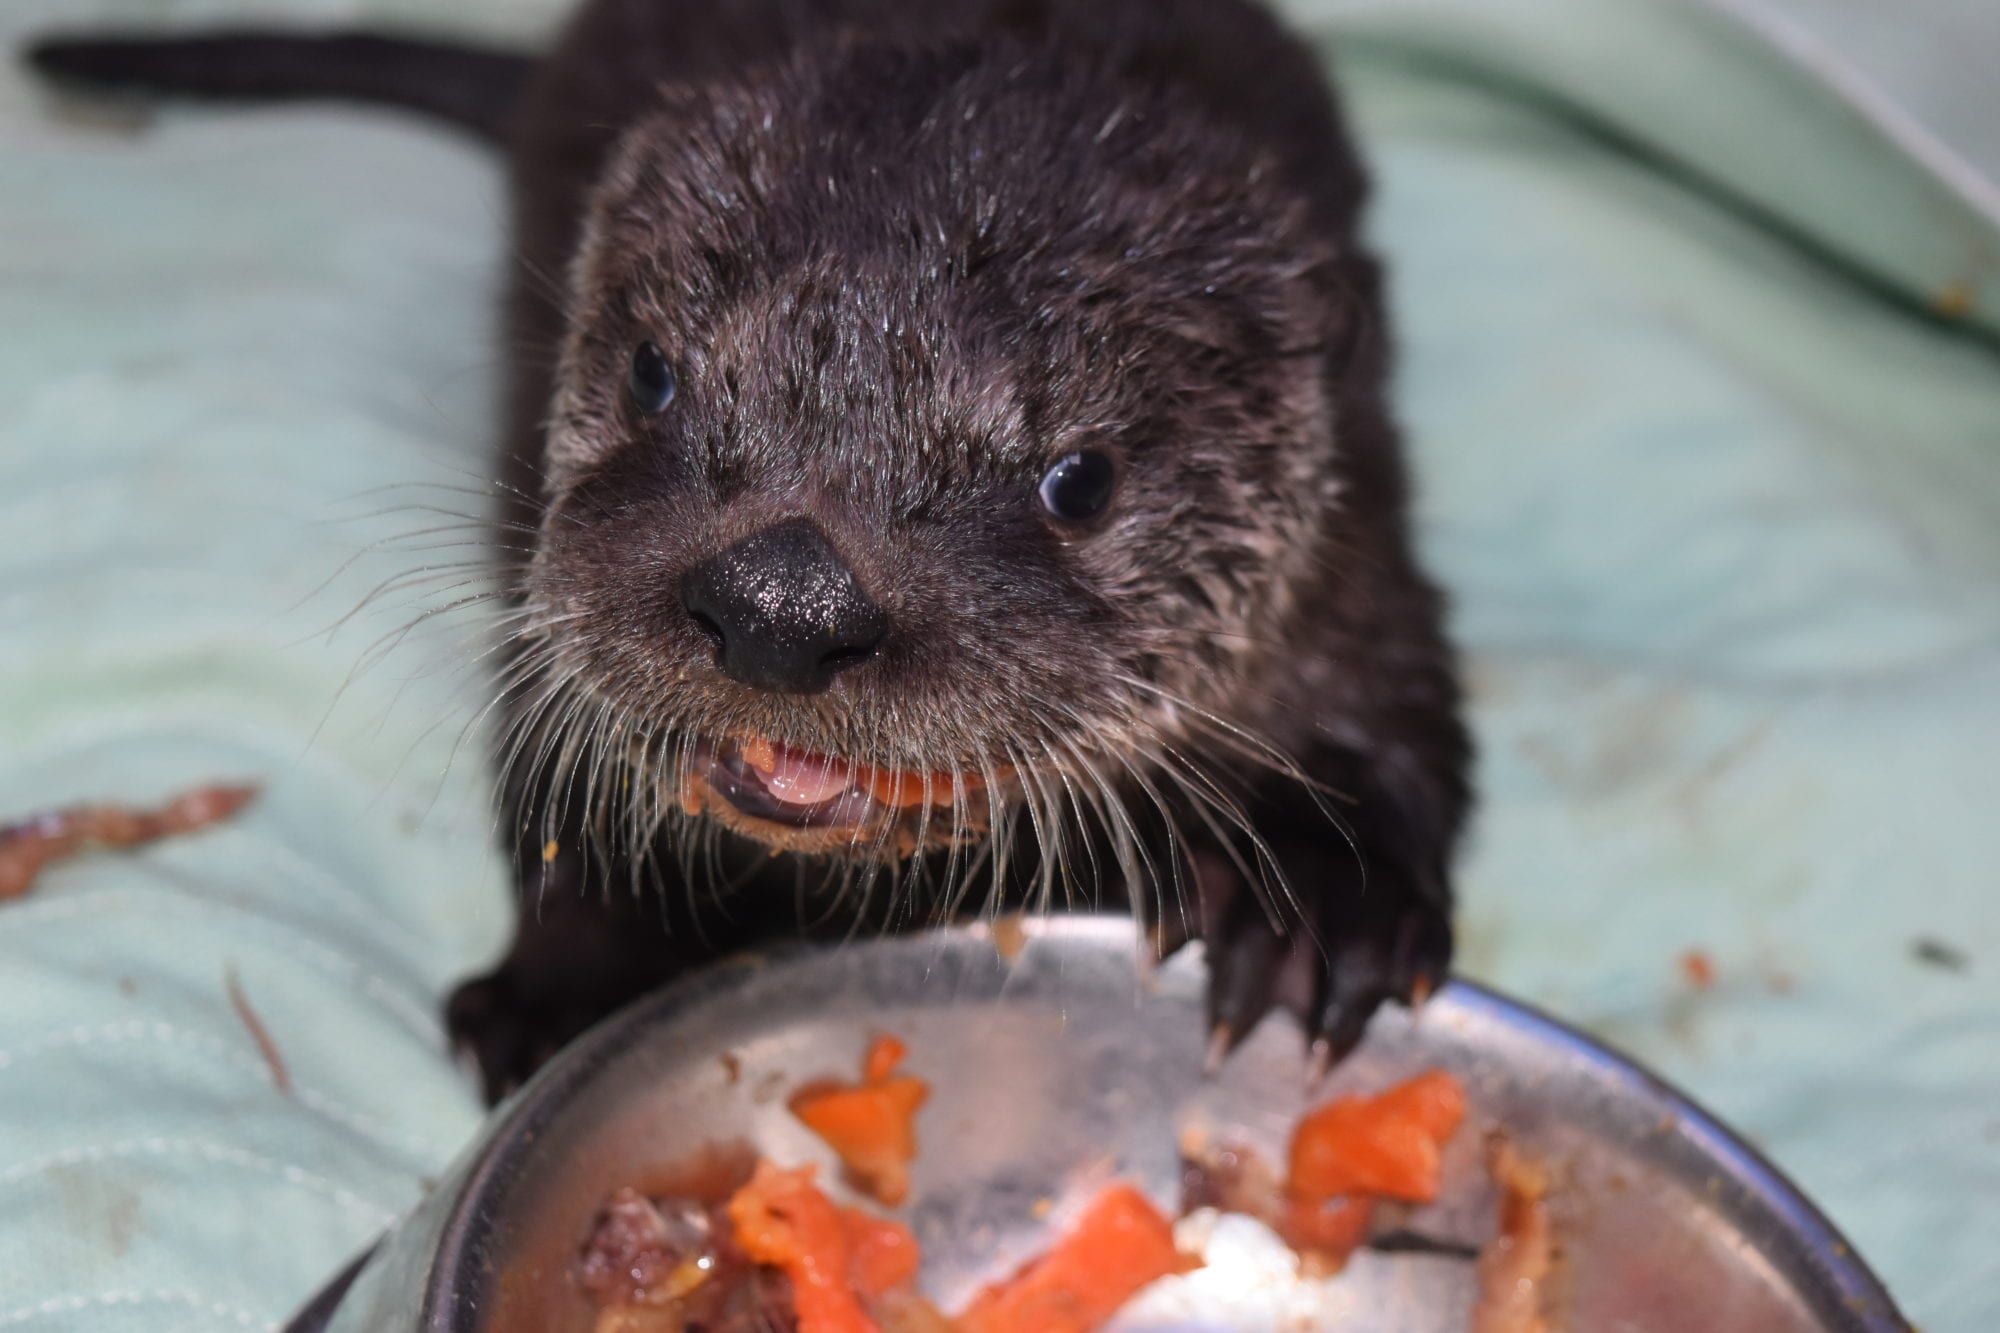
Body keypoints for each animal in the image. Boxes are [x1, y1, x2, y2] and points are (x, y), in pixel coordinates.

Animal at [30, 0, 1472, 1103]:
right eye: (653, 373)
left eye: (1079, 479)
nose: (782, 601)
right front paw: (571, 994)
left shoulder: (1361, 559)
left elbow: (1395, 727)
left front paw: (1315, 906)